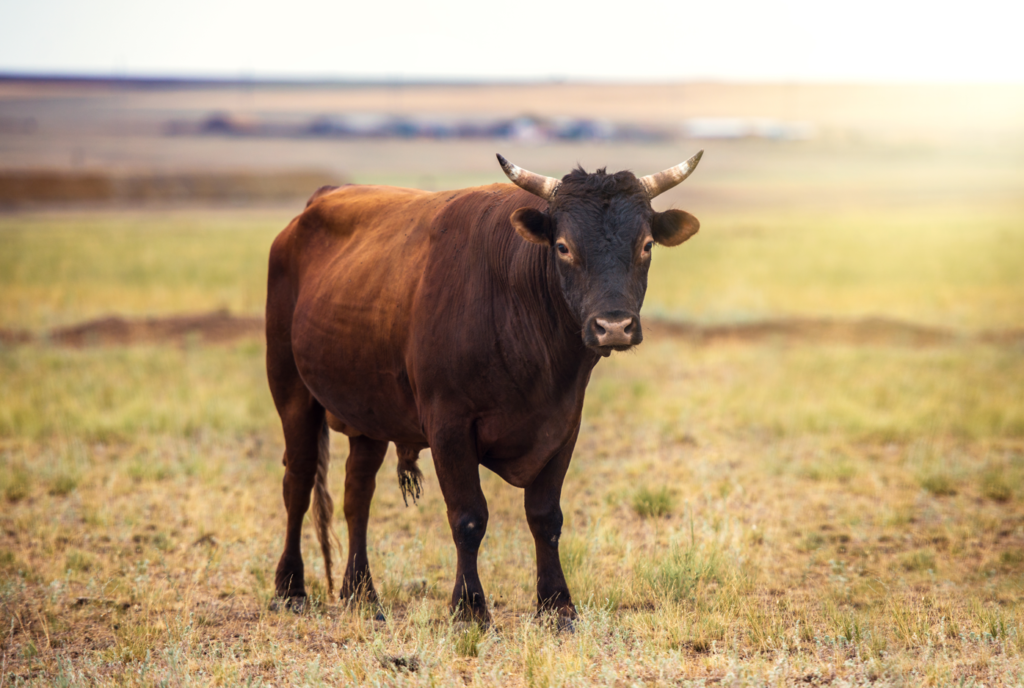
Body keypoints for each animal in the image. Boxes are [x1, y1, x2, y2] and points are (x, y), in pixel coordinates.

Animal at [265, 151, 703, 625]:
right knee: (298, 483)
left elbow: (545, 517)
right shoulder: (449, 427)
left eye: (646, 245)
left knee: (356, 494)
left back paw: (361, 591)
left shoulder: (563, 426)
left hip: (368, 414)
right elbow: (468, 516)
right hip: (292, 392)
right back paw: (290, 586)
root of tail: (313, 206)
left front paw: (556, 604)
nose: (614, 326)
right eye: (563, 247)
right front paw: (469, 606)